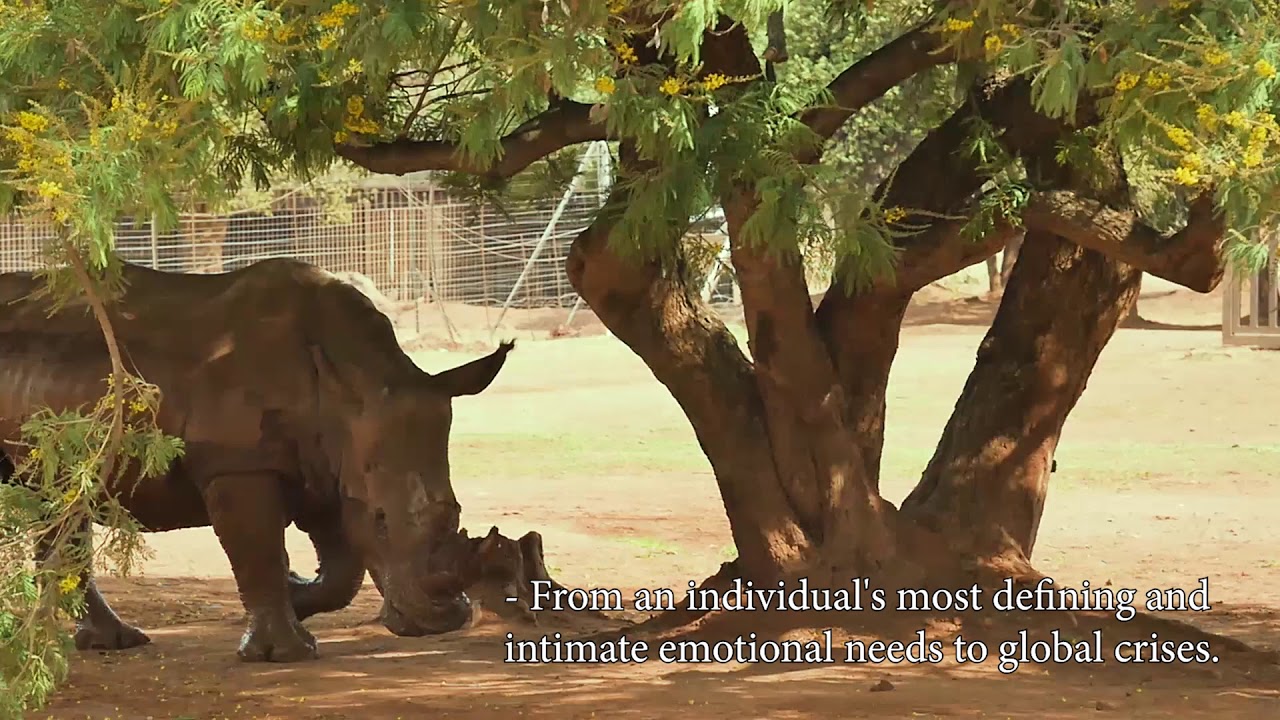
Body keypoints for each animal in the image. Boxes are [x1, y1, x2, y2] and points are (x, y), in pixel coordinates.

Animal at [0, 258, 511, 662]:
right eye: (382, 521)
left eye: (458, 513)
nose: (443, 620)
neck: (353, 379)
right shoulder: (239, 463)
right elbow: (259, 550)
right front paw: (283, 653)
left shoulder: (327, 469)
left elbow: (340, 573)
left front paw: (296, 591)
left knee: (56, 502)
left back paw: (104, 642)